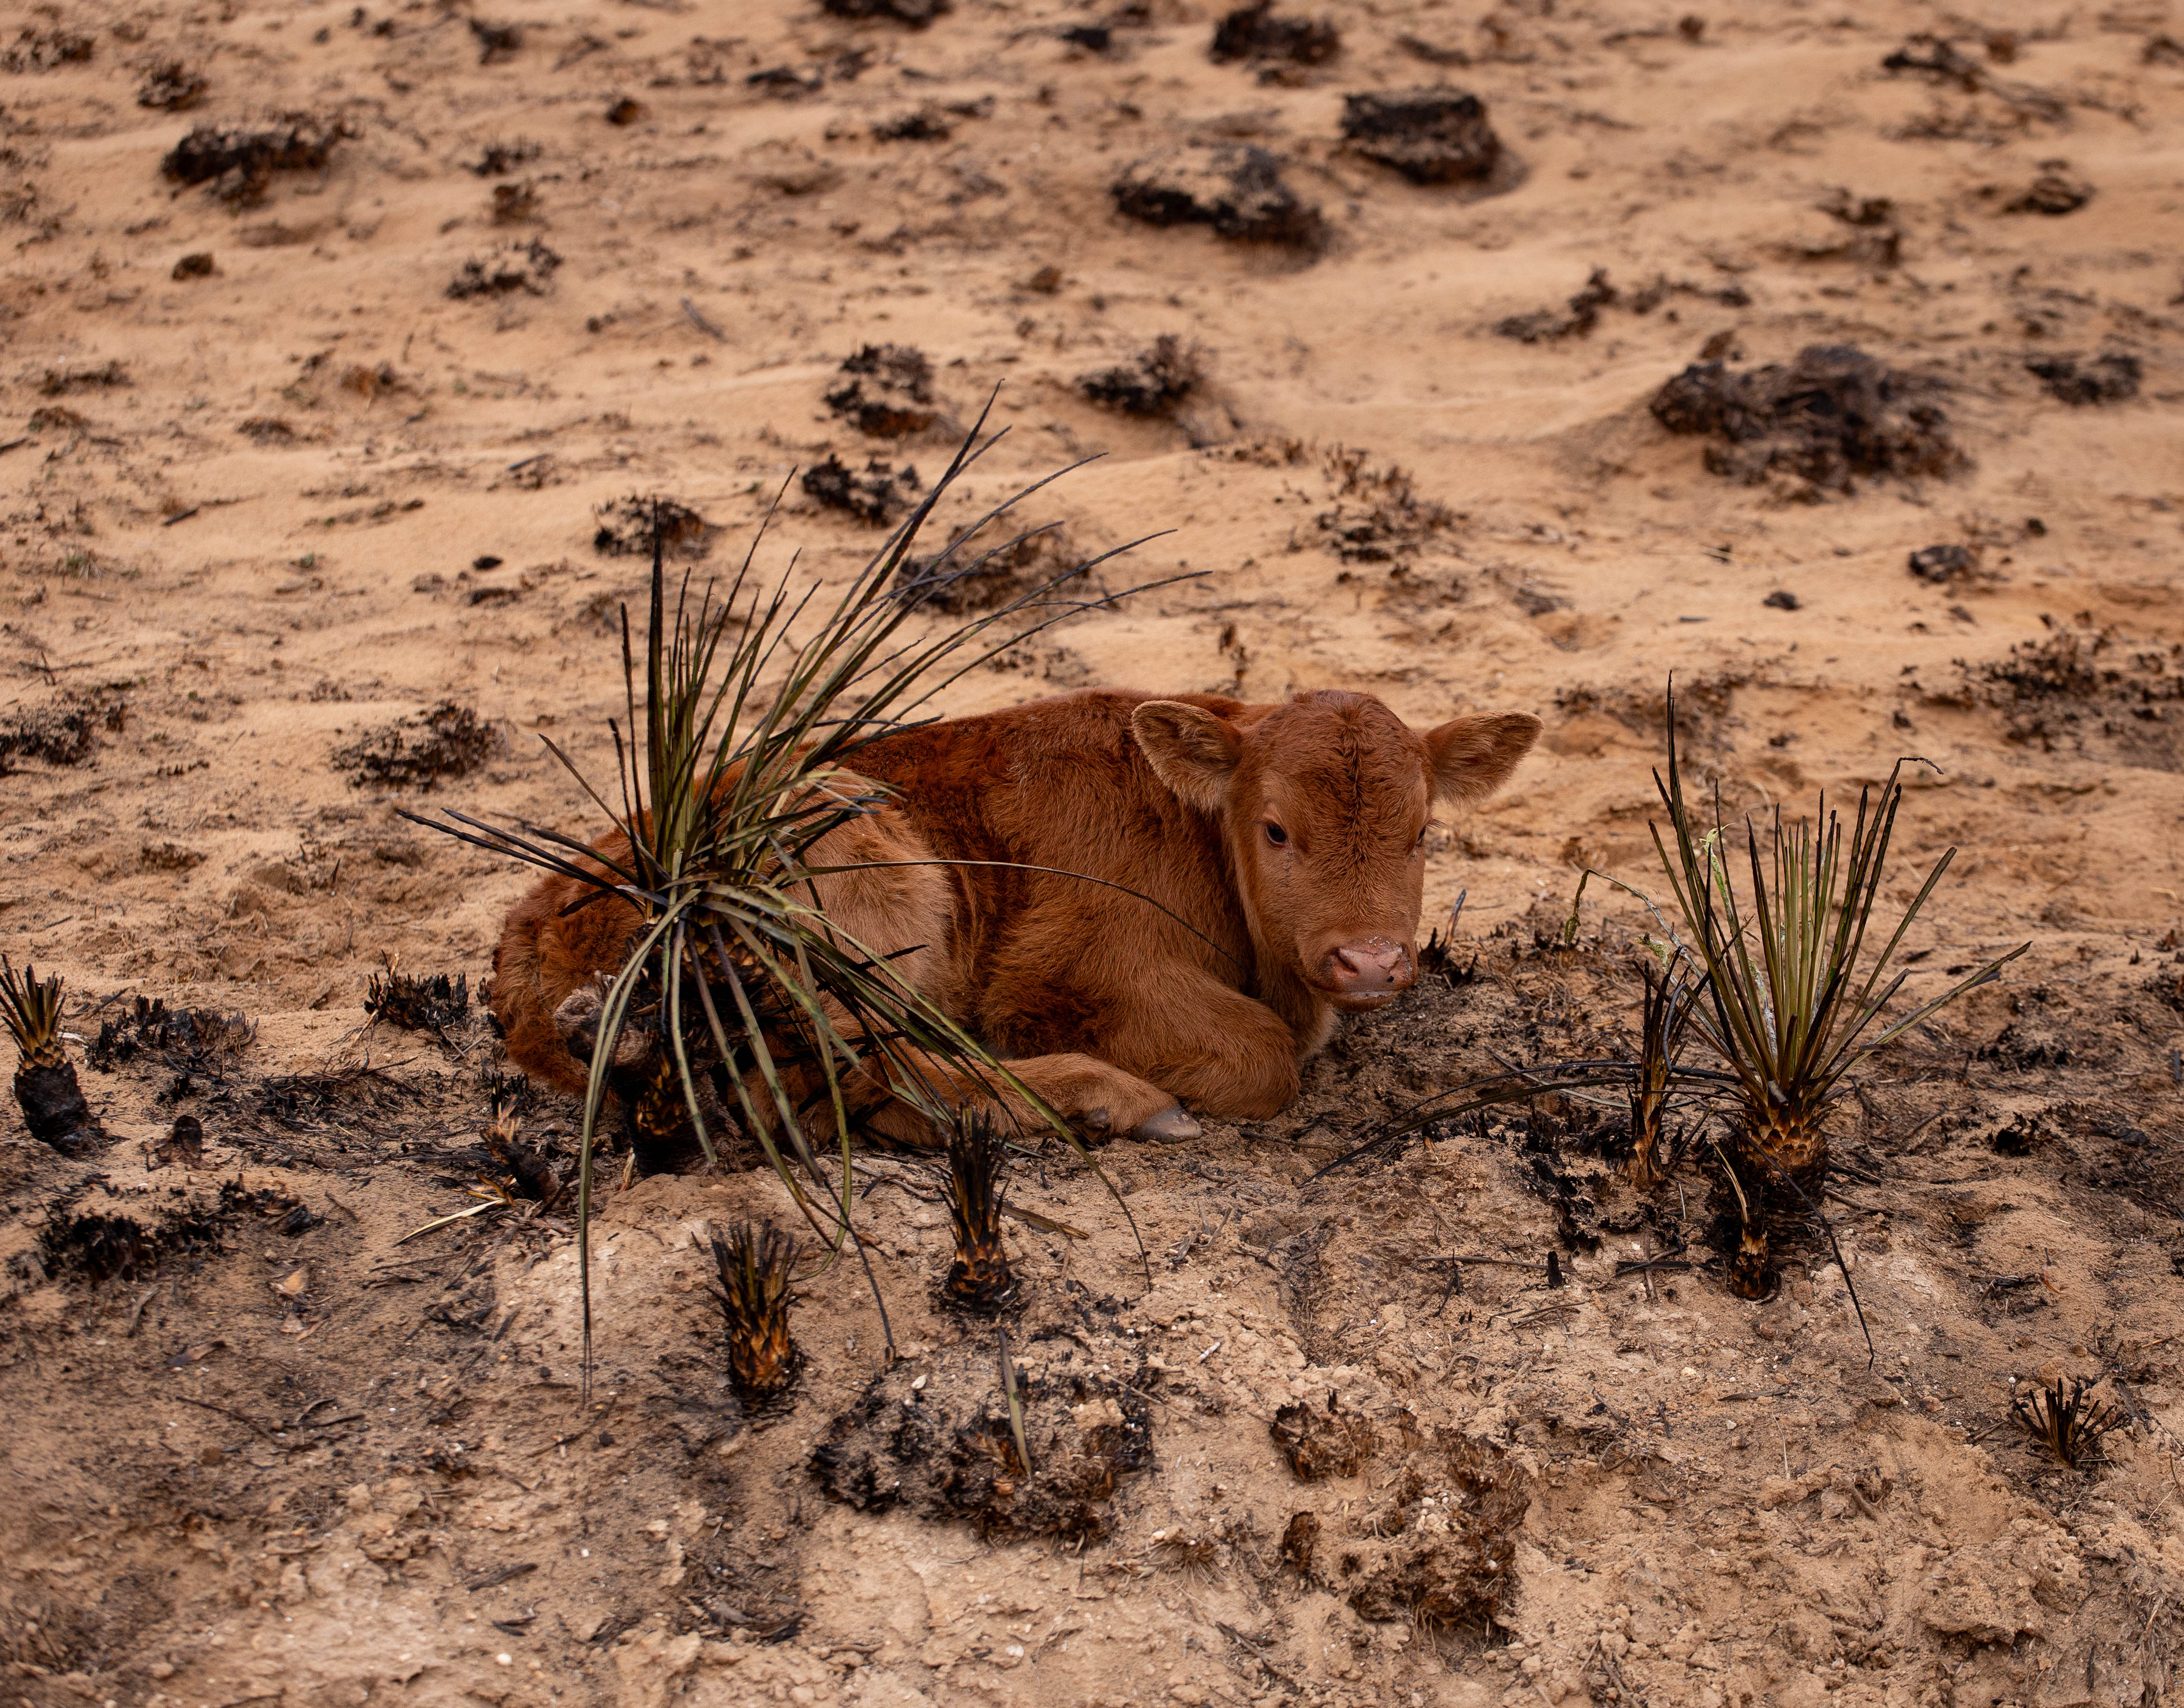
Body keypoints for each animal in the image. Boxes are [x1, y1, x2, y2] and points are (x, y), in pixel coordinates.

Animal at [491, 687, 1540, 1145]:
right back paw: (1115, 1104)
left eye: (1419, 832)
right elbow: (1261, 1055)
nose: (1368, 960)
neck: (1193, 822)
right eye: (1276, 829)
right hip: (866, 878)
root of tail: (534, 926)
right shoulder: (1068, 976)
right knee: (858, 1069)